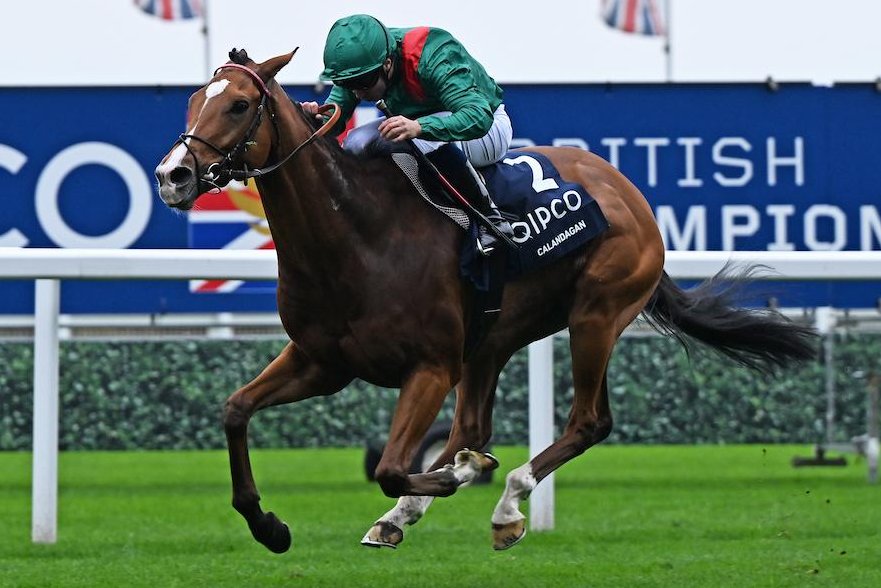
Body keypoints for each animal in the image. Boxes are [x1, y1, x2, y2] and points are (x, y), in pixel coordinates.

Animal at [154, 49, 817, 553]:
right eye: (194, 99)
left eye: (239, 104)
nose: (172, 176)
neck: (357, 236)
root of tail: (630, 193)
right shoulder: (322, 361)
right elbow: (235, 410)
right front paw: (269, 526)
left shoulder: (429, 365)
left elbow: (391, 467)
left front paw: (465, 475)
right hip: (492, 340)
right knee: (472, 424)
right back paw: (417, 505)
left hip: (596, 314)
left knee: (587, 421)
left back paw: (504, 502)